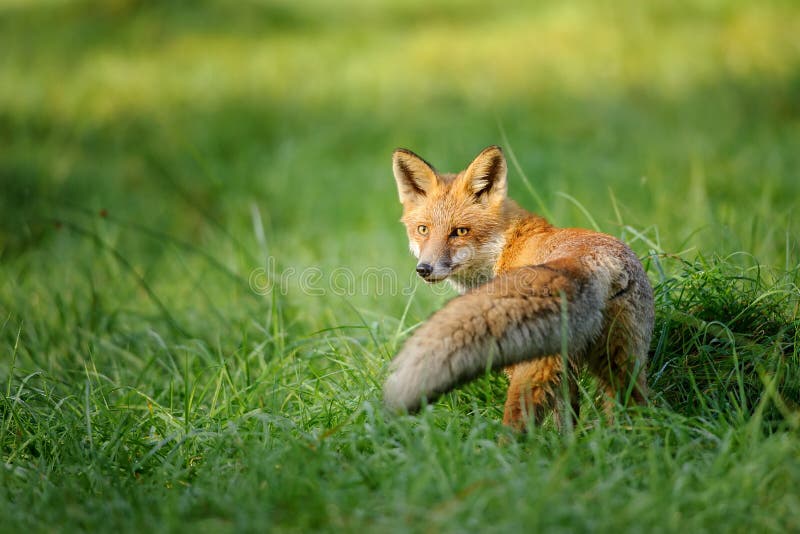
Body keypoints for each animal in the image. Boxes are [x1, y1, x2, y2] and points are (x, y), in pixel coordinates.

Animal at [383, 145, 654, 429]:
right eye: (423, 229)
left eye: (460, 231)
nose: (424, 269)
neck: (505, 247)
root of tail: (594, 262)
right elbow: (566, 422)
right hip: (622, 364)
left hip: (532, 372)